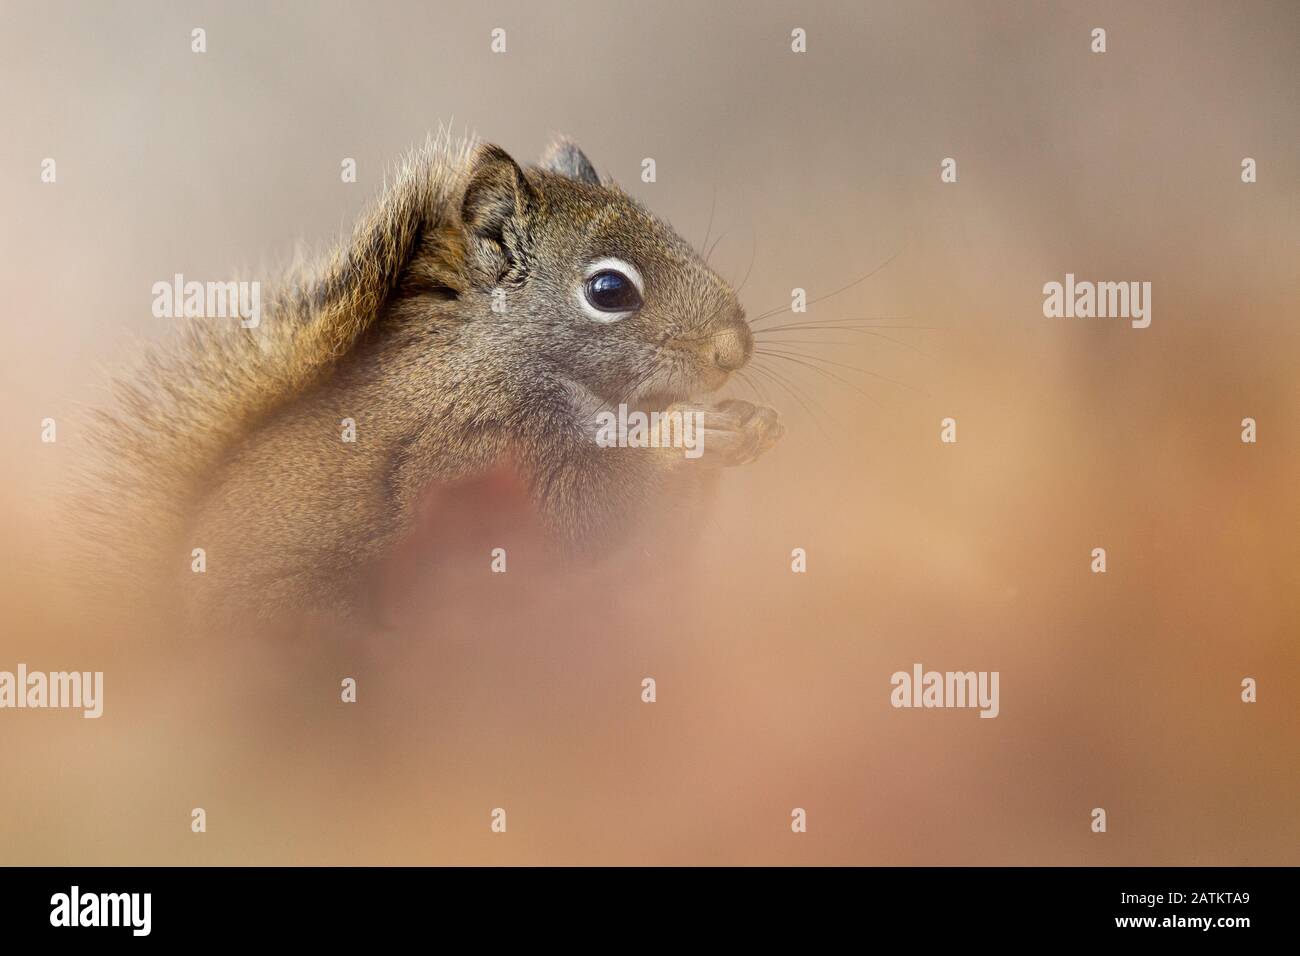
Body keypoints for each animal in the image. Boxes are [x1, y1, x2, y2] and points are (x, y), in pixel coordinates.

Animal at [80, 130, 783, 625]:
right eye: (609, 291)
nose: (734, 350)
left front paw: (745, 424)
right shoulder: (471, 443)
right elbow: (582, 511)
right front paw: (686, 436)